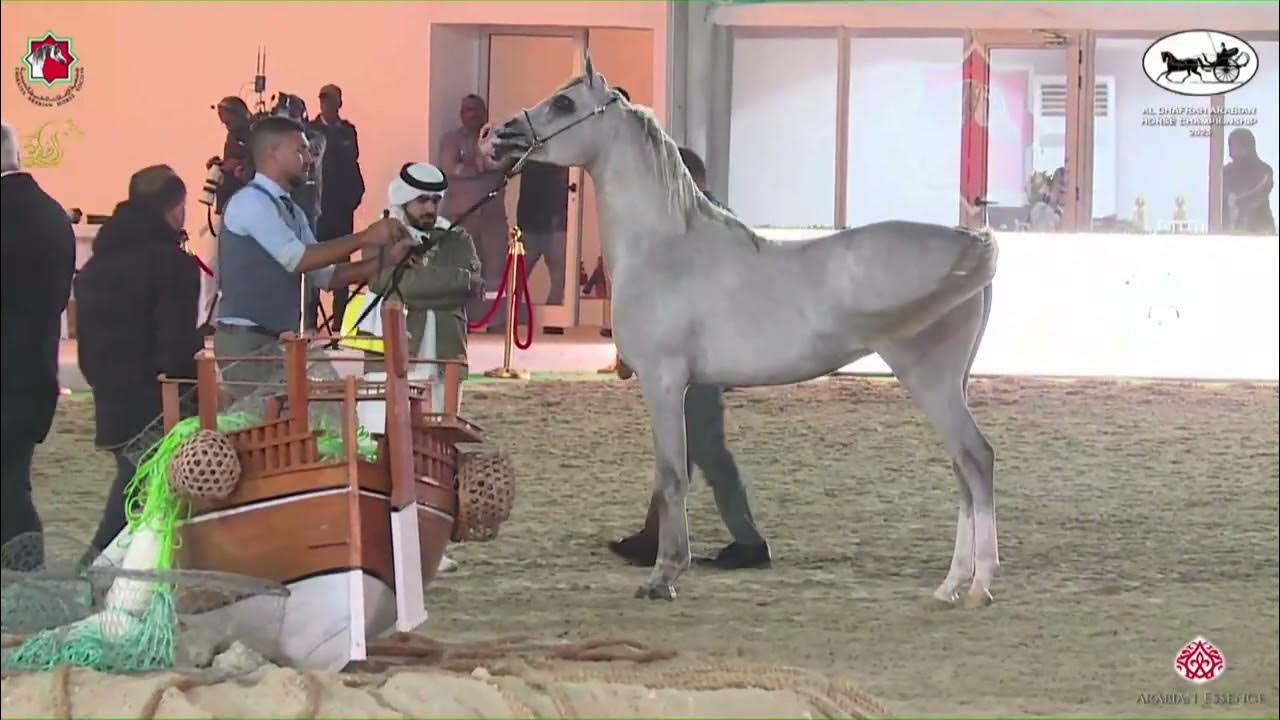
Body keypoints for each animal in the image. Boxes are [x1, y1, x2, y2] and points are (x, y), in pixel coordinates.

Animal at [491, 53, 1000, 609]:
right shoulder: (688, 388)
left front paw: (664, 575)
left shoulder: (663, 382)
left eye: (564, 103)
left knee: (976, 459)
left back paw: (978, 587)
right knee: (962, 469)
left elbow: (670, 476)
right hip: (952, 384)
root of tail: (967, 241)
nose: (500, 134)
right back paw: (951, 585)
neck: (666, 248)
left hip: (930, 379)